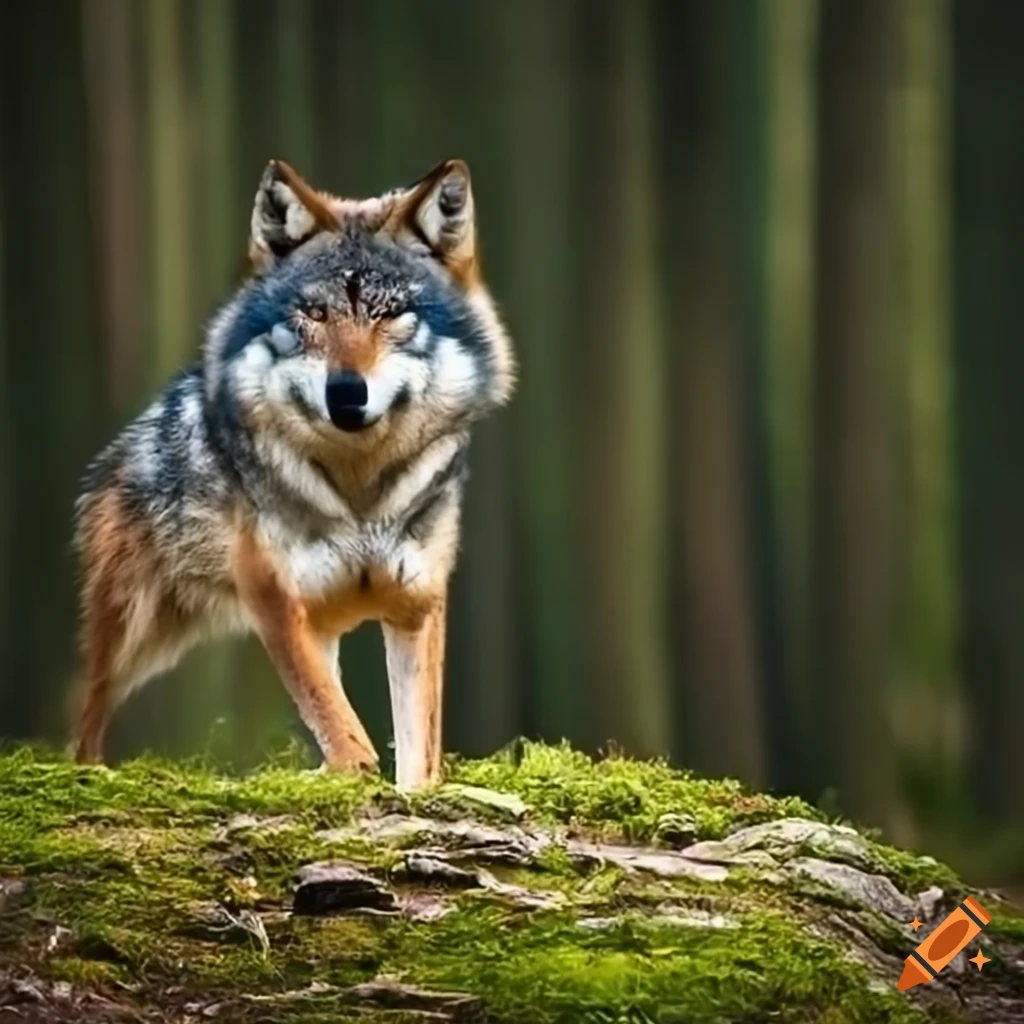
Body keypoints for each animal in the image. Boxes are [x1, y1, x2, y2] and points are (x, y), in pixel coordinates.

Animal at [70, 158, 515, 791]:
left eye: (391, 314)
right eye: (314, 313)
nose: (347, 392)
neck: (360, 499)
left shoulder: (417, 602)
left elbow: (417, 753)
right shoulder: (275, 599)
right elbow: (344, 733)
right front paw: (351, 772)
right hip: (132, 639)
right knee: (83, 716)